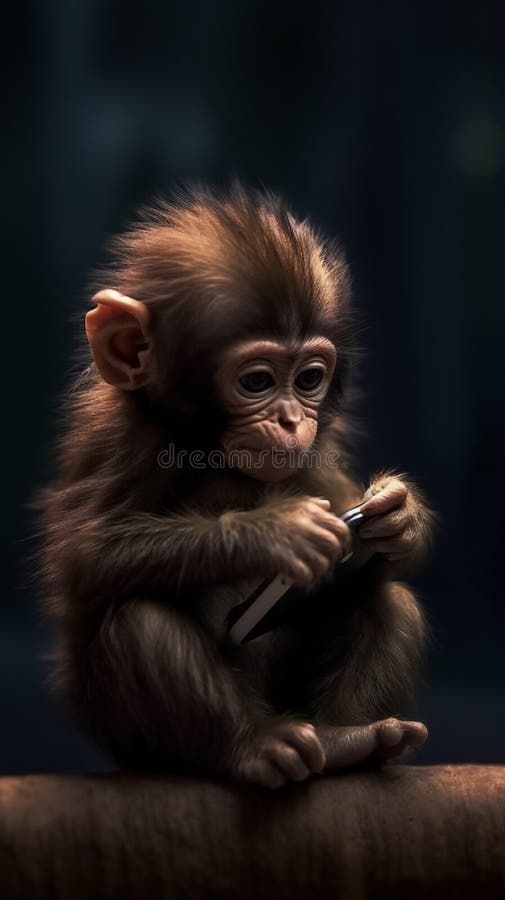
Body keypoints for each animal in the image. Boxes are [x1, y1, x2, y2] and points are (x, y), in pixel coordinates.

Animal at [38, 184, 434, 789]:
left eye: (309, 378)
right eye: (257, 381)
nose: (292, 419)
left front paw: (400, 517)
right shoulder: (121, 437)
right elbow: (88, 553)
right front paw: (277, 531)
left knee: (386, 601)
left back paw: (352, 739)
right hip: (130, 737)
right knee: (140, 623)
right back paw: (255, 745)